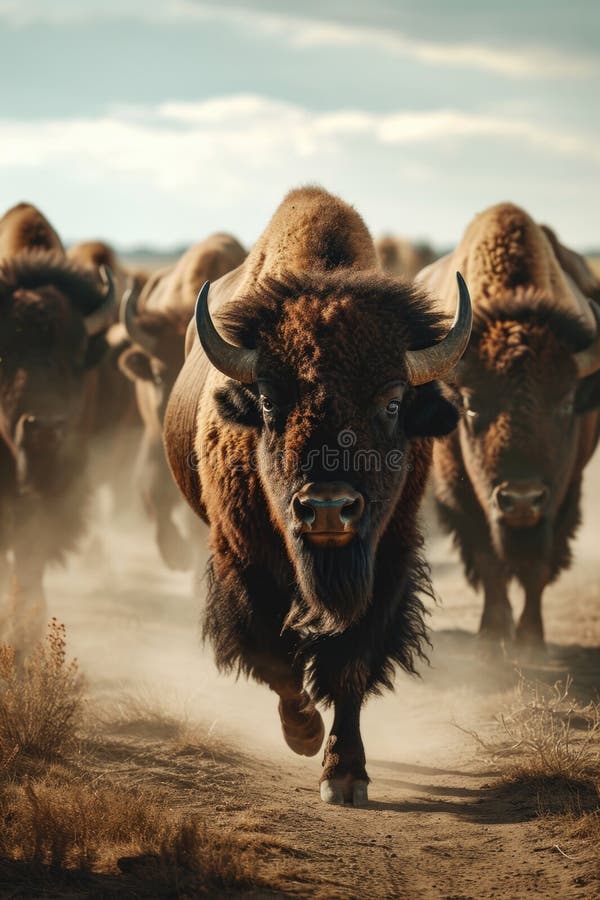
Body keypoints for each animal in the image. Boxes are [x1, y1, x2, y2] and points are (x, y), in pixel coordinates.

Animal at [164, 187, 472, 804]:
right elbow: (272, 654)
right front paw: (303, 733)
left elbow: (349, 665)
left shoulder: (385, 562)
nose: (327, 509)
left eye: (393, 402)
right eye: (267, 402)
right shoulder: (243, 558)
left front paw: (345, 774)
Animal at [418, 203, 600, 652]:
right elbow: (488, 557)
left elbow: (538, 565)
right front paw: (493, 634)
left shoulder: (563, 493)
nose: (520, 500)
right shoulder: (462, 494)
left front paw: (531, 637)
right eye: (470, 407)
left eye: (566, 403)